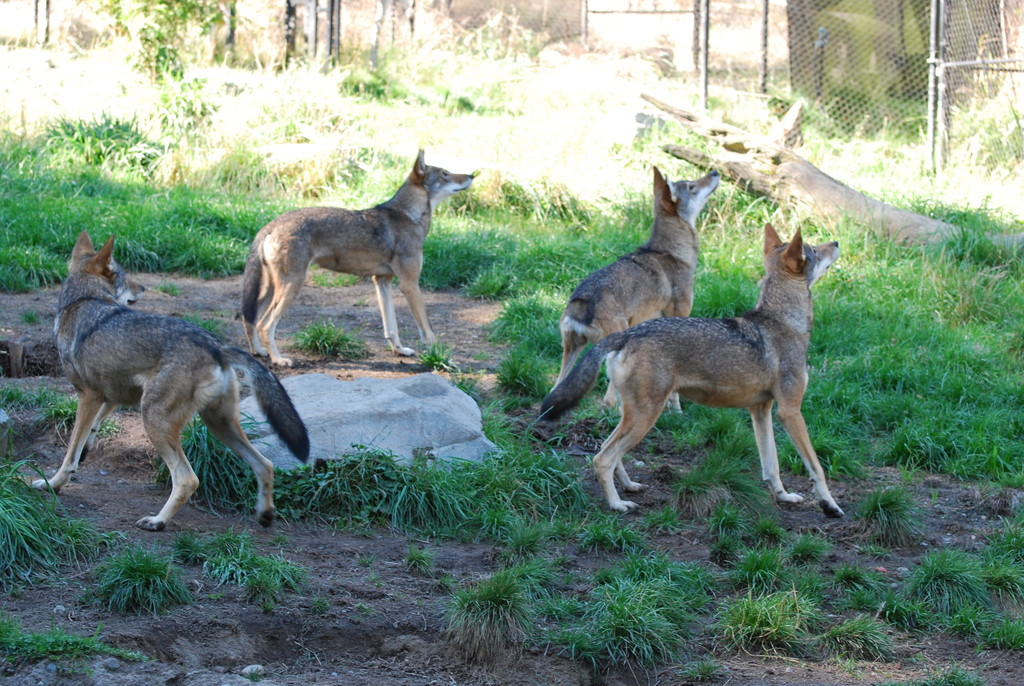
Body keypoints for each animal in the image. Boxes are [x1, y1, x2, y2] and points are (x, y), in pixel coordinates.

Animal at [35, 232, 310, 531]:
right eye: (125, 276)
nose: (143, 287)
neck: (83, 299)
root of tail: (216, 346)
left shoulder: (89, 395)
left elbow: (69, 454)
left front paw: (52, 484)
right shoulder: (115, 395)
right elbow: (91, 430)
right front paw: (86, 449)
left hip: (154, 420)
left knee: (188, 478)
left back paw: (157, 521)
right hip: (218, 425)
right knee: (265, 465)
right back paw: (265, 514)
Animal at [241, 149, 475, 366]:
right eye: (445, 173)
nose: (472, 174)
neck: (409, 215)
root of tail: (270, 225)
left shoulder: (382, 282)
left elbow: (391, 327)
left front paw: (400, 351)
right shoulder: (409, 285)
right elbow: (428, 330)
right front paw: (442, 359)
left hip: (270, 289)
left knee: (249, 318)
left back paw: (259, 352)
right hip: (291, 286)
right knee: (265, 324)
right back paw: (279, 360)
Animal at [540, 223, 844, 519]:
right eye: (813, 250)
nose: (837, 242)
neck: (785, 322)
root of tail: (628, 334)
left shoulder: (761, 410)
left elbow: (772, 466)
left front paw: (784, 496)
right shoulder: (790, 411)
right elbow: (817, 468)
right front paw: (830, 505)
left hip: (633, 415)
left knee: (610, 452)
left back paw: (629, 486)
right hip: (645, 416)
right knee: (602, 458)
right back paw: (617, 505)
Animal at [554, 166, 719, 409]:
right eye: (691, 186)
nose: (715, 171)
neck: (672, 253)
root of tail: (581, 304)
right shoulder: (681, 316)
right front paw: (676, 409)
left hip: (572, 355)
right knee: (610, 400)